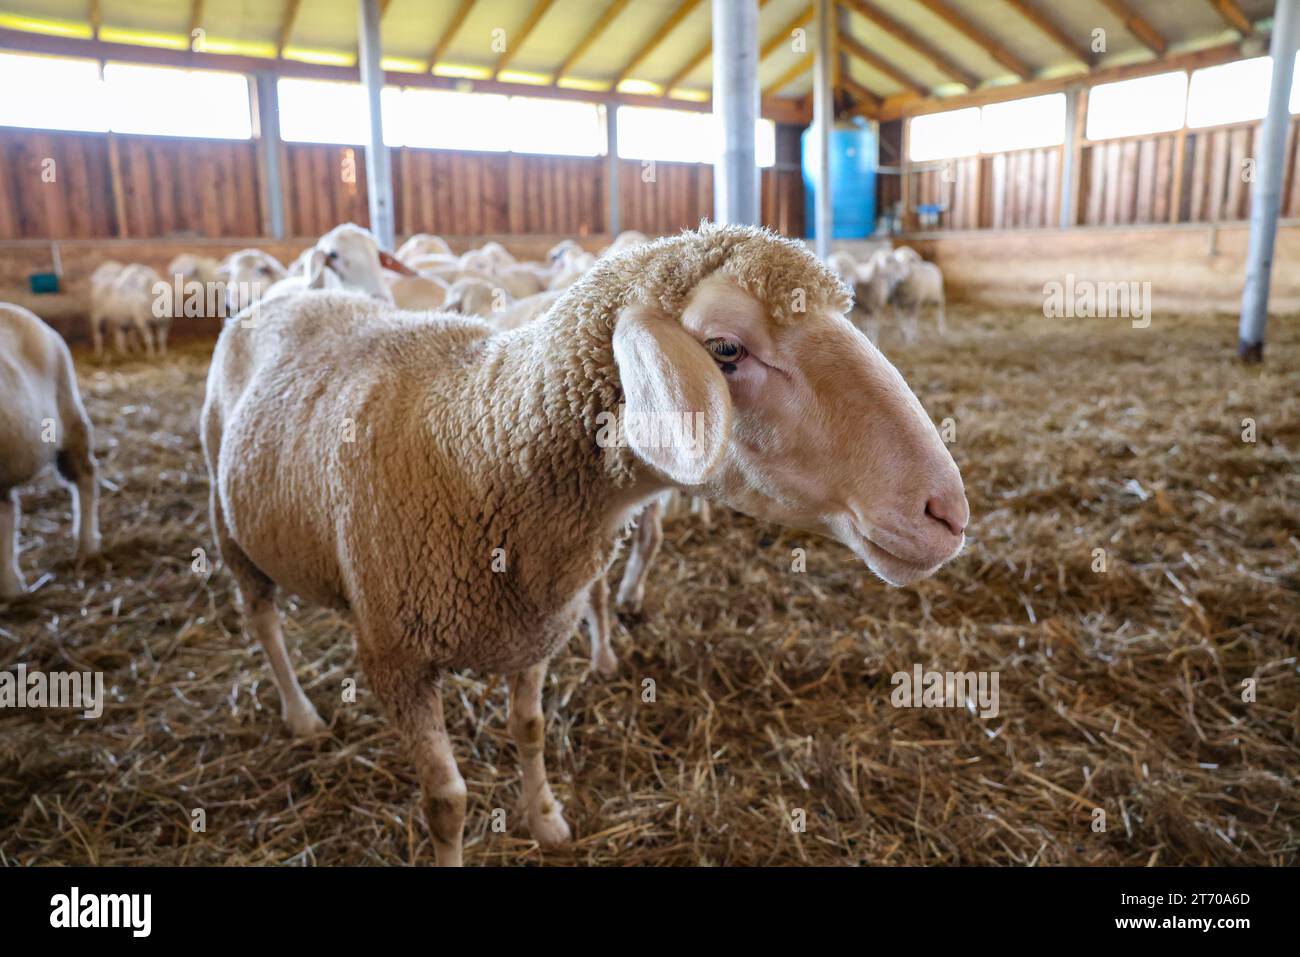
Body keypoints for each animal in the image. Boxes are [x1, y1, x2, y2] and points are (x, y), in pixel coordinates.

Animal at [201, 223, 968, 866]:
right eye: (726, 349)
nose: (947, 512)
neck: (479, 444)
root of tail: (291, 292)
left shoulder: (533, 631)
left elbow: (532, 729)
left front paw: (546, 821)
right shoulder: (398, 661)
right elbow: (446, 803)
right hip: (227, 517)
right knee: (261, 618)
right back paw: (301, 714)